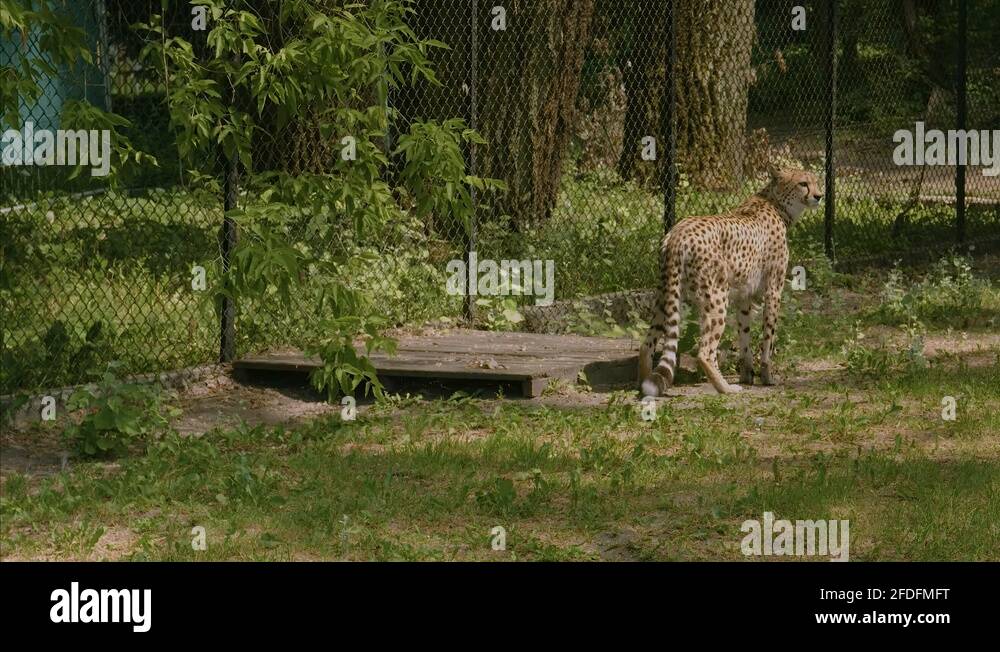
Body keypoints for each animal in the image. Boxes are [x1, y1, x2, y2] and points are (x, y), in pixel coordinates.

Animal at [638, 166, 823, 396]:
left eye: (816, 182)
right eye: (803, 184)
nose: (819, 196)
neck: (776, 203)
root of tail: (677, 233)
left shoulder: (744, 296)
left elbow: (744, 338)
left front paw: (747, 375)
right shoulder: (773, 291)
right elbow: (768, 340)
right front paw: (767, 377)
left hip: (667, 296)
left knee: (646, 345)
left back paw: (646, 385)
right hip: (717, 298)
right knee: (705, 352)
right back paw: (725, 388)